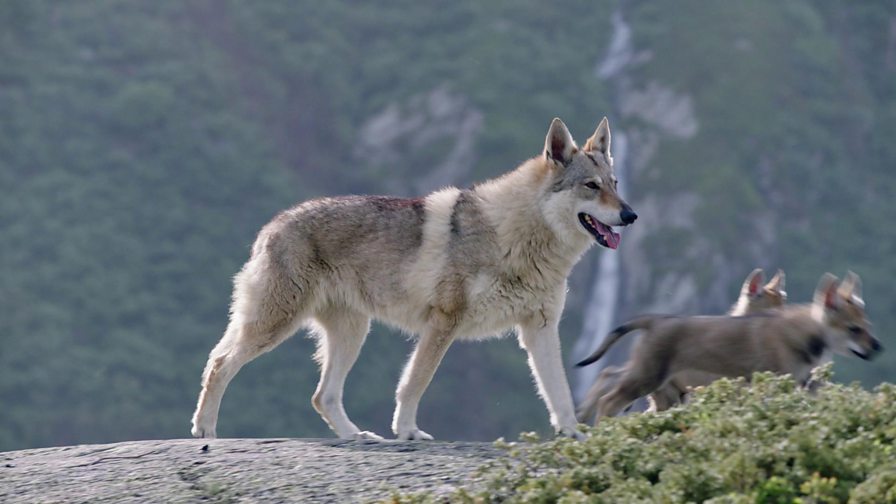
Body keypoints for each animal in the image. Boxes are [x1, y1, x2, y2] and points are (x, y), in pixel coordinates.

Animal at [190, 117, 637, 440]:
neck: (513, 236)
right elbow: (414, 383)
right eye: (591, 186)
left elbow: (559, 392)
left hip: (351, 334)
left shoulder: (539, 329)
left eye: (615, 185)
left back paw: (357, 437)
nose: (631, 215)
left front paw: (574, 435)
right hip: (277, 327)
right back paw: (206, 431)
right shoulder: (443, 323)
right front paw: (407, 432)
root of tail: (273, 224)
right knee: (219, 363)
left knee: (322, 396)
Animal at [576, 272, 881, 423]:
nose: (877, 348)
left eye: (868, 325)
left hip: (661, 389)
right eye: (854, 329)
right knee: (609, 396)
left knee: (612, 382)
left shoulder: (803, 382)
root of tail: (655, 320)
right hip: (648, 377)